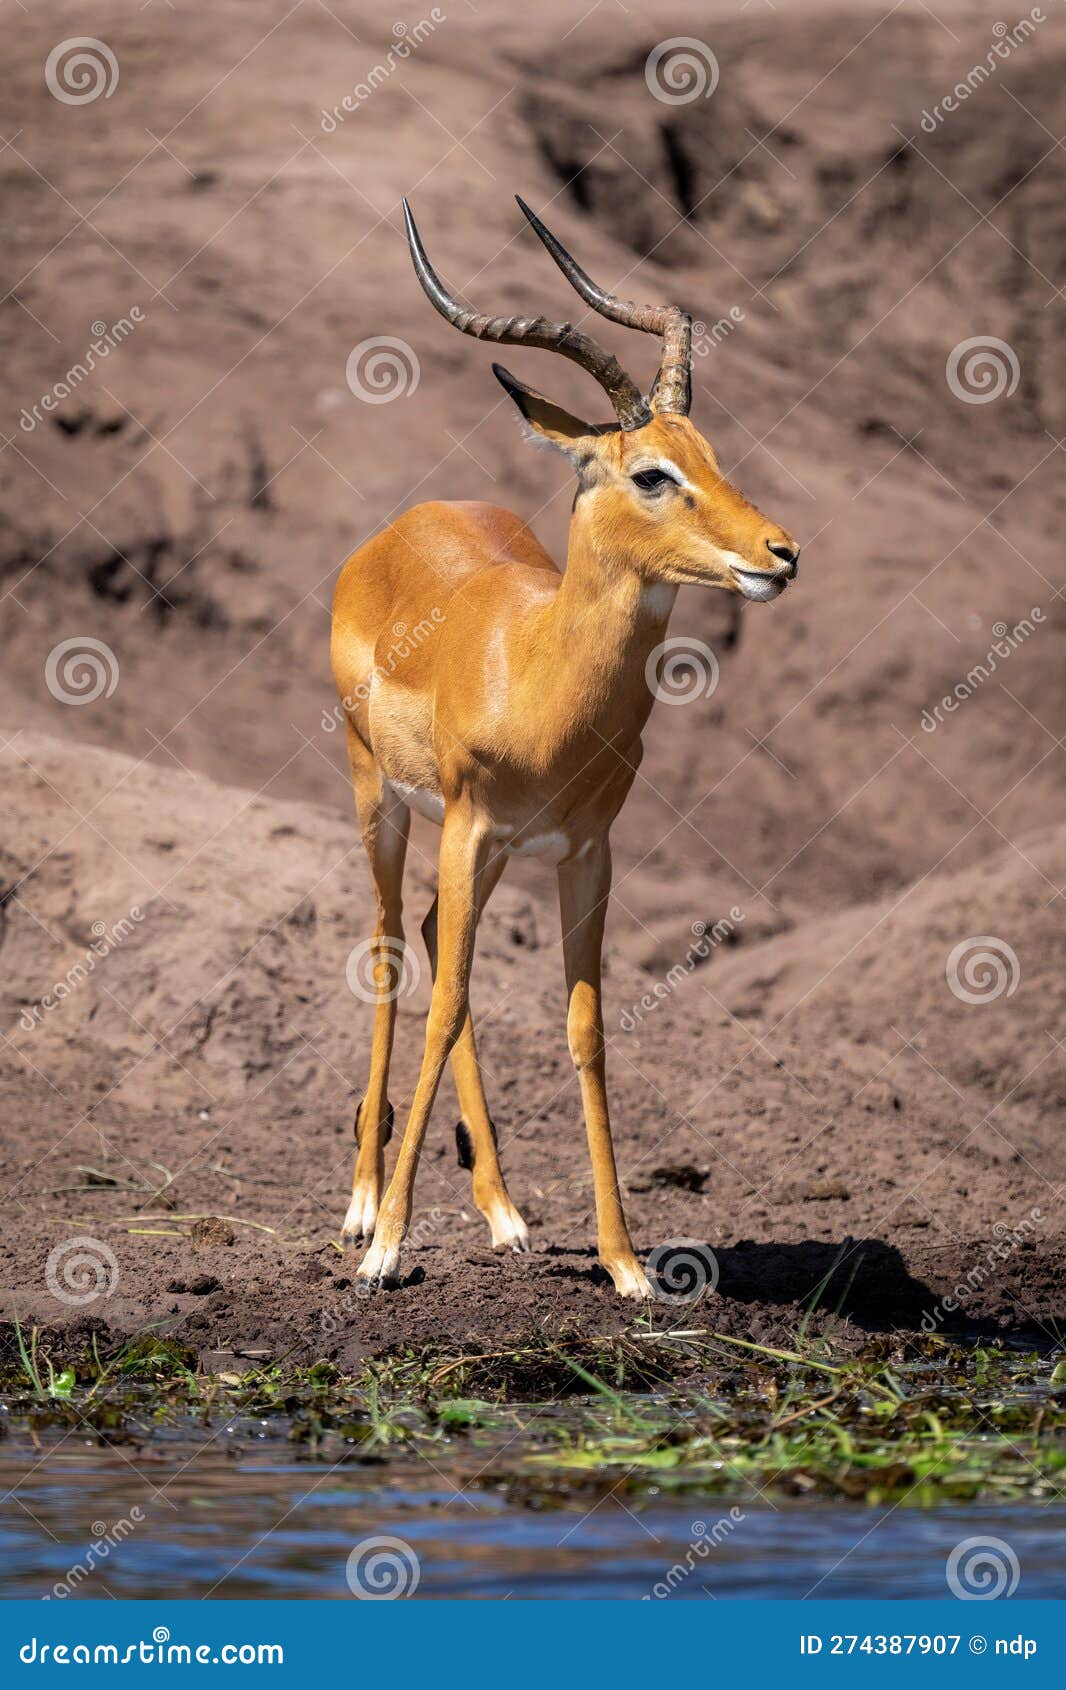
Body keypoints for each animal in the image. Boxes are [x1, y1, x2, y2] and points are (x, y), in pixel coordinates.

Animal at [332, 196, 800, 1297]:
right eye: (651, 473)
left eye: (708, 451)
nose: (778, 555)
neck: (539, 677)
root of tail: (404, 525)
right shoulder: (467, 828)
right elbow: (449, 1003)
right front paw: (387, 1251)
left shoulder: (585, 851)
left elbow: (585, 1027)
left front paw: (625, 1262)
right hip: (383, 804)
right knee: (392, 948)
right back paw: (364, 1206)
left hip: (494, 852)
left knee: (428, 935)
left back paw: (503, 1213)